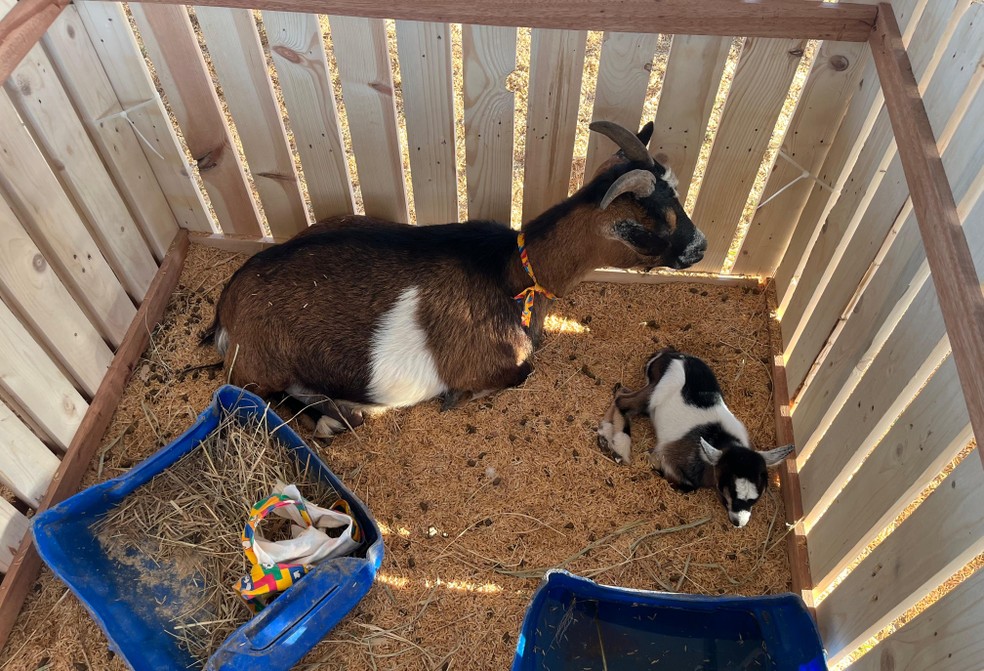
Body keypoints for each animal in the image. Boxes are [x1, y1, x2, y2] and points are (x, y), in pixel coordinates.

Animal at [208, 121, 707, 437]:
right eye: (642, 228)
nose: (700, 246)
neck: (510, 270)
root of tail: (228, 303)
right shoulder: (495, 362)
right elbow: (520, 373)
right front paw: (455, 397)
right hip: (263, 367)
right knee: (256, 394)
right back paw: (338, 414)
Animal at [597, 348, 793, 527]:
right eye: (728, 489)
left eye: (756, 498)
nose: (739, 522)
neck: (720, 439)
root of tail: (669, 354)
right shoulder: (667, 455)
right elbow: (686, 484)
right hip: (653, 392)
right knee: (623, 400)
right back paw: (618, 447)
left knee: (621, 392)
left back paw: (606, 436)